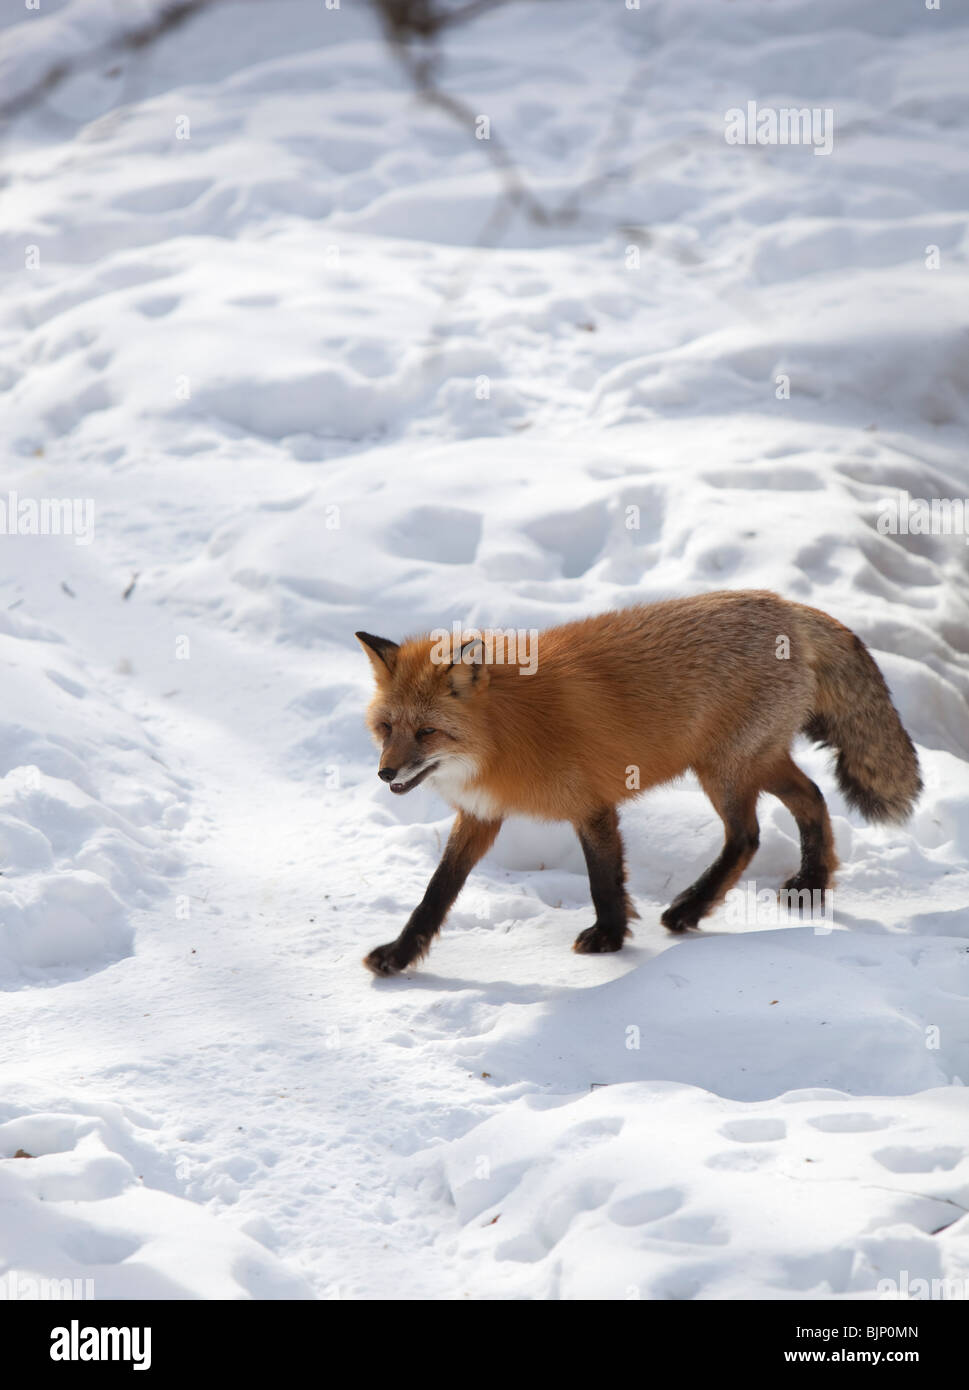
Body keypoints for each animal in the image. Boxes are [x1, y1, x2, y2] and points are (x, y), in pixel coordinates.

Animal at [355, 590, 922, 977]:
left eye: (427, 732)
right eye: (386, 728)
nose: (385, 773)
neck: (502, 733)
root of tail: (786, 605)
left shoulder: (591, 805)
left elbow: (604, 879)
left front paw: (608, 937)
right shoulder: (481, 815)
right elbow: (436, 892)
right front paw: (401, 954)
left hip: (726, 770)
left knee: (749, 836)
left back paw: (690, 908)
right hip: (753, 762)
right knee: (813, 799)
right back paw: (811, 882)